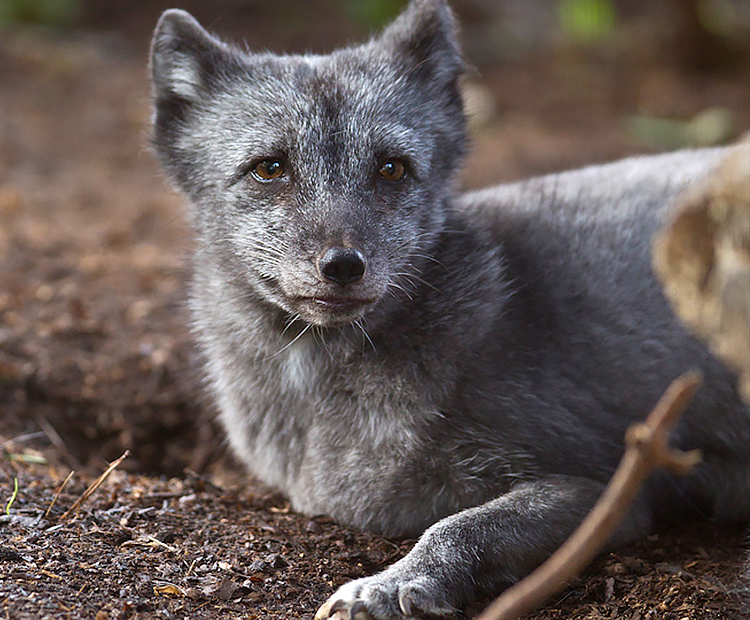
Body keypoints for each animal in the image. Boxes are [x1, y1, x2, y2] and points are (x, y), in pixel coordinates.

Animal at [149, 1, 750, 618]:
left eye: (392, 168)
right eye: (269, 168)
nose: (343, 266)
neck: (315, 394)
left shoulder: (604, 488)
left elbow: (459, 525)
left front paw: (388, 585)